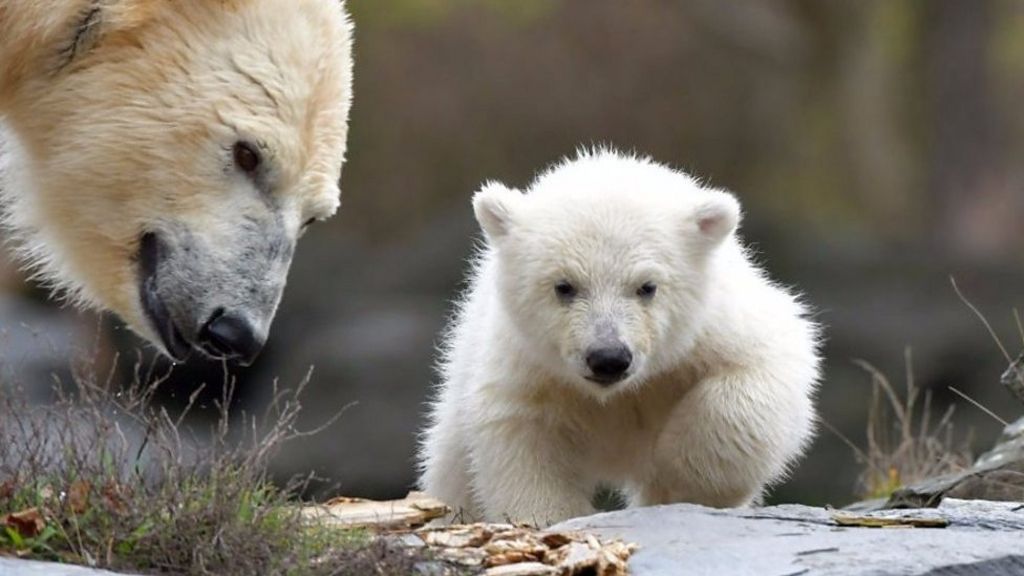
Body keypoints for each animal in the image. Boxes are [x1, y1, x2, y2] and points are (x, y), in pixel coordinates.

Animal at [418, 149, 820, 526]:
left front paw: (681, 469)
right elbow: (522, 432)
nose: (608, 358)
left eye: (647, 286)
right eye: (564, 286)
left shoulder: (719, 327)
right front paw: (552, 516)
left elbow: (756, 379)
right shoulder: (526, 363)